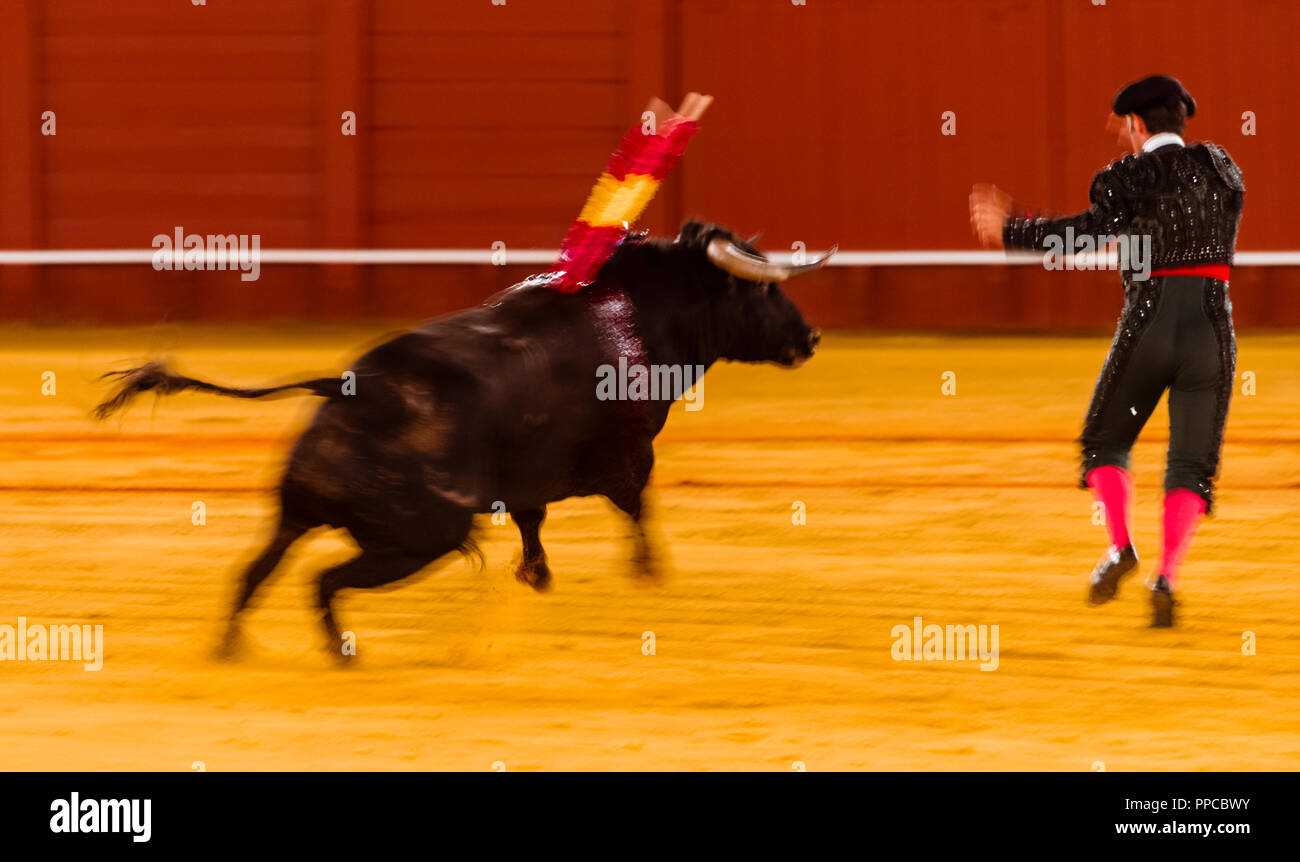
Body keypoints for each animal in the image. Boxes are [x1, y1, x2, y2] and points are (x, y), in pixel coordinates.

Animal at [94, 221, 832, 660]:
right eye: (761, 293)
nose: (811, 337)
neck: (640, 313)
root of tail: (350, 388)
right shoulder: (626, 452)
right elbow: (637, 506)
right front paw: (648, 574)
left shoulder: (534, 474)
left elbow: (534, 519)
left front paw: (537, 575)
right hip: (422, 537)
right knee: (321, 580)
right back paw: (341, 653)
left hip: (297, 513)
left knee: (255, 570)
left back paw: (228, 649)